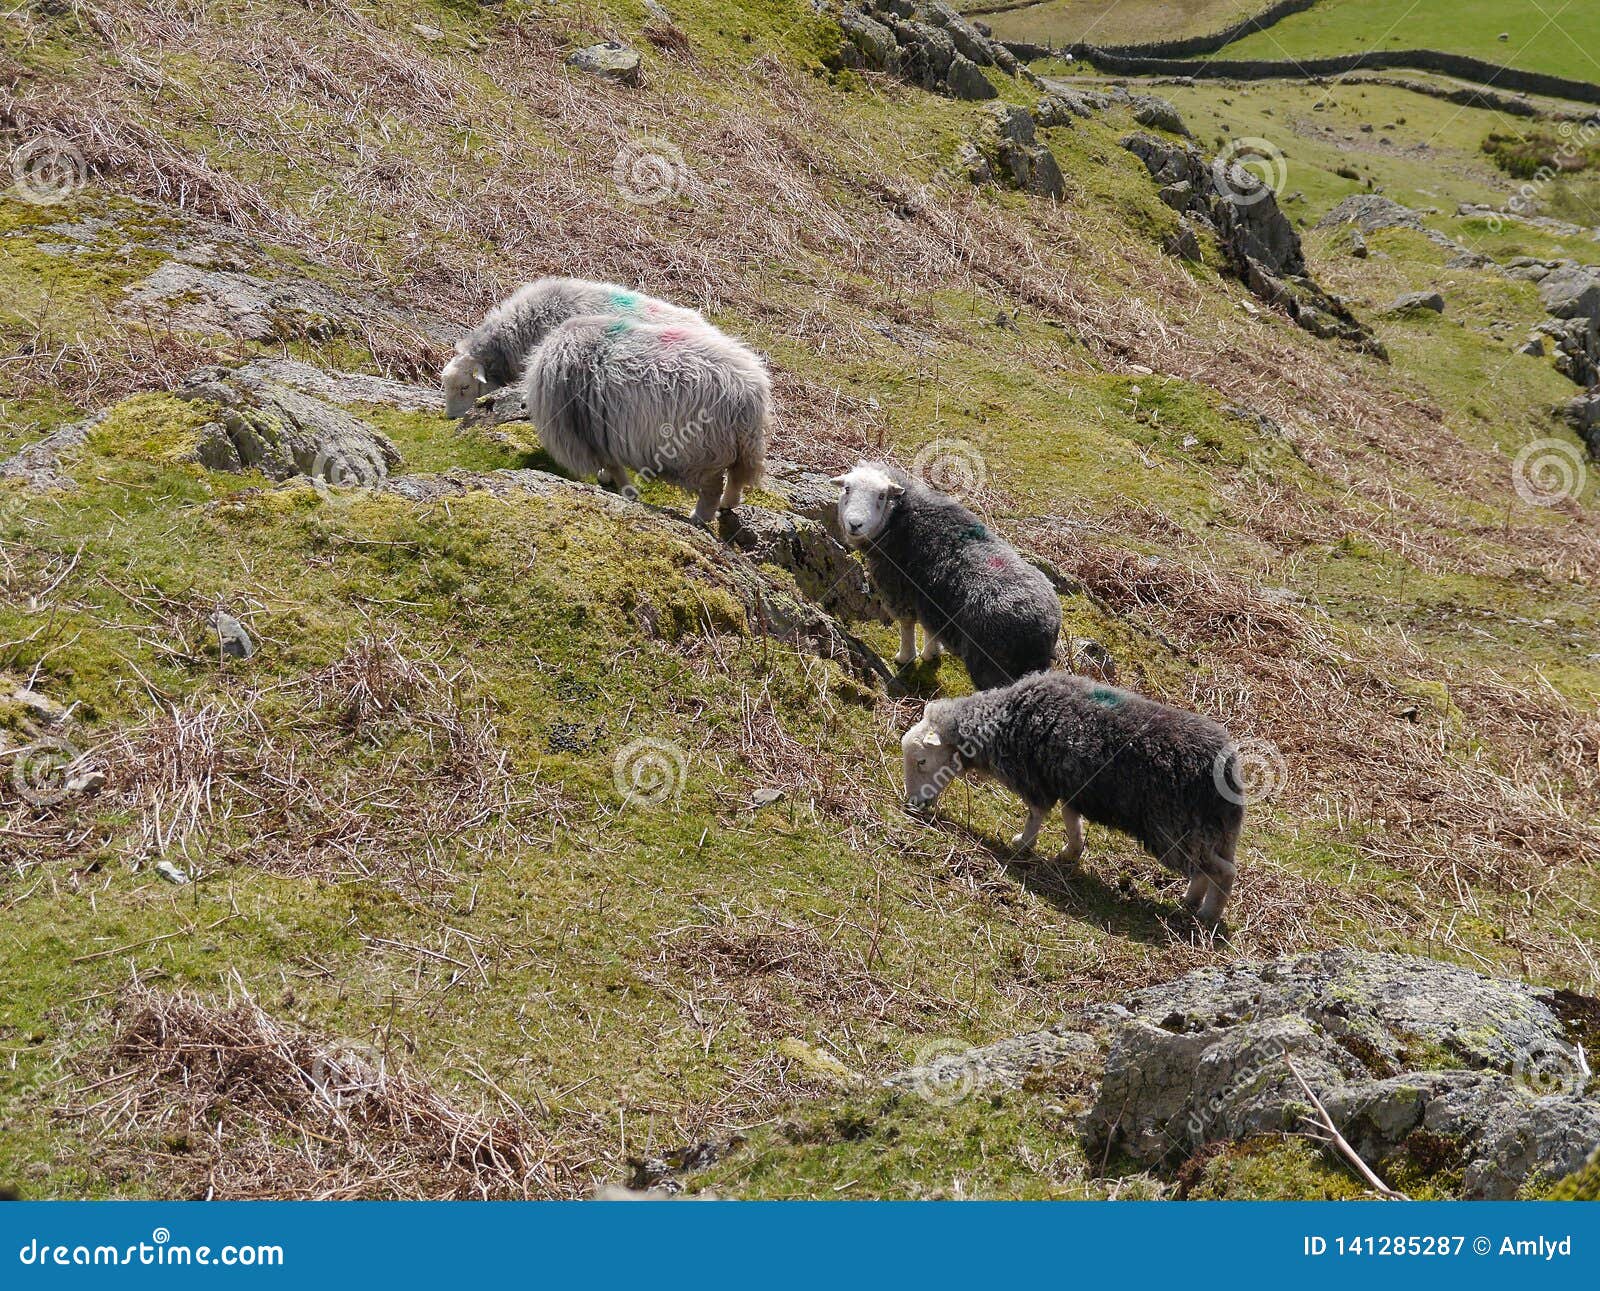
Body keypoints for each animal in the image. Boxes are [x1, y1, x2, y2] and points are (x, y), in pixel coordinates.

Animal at [522, 314, 769, 525]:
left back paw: (700, 516)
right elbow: (612, 464)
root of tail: (748, 392)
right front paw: (609, 480)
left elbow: (614, 467)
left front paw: (626, 491)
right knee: (737, 477)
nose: (523, 406)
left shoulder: (592, 437)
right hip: (740, 446)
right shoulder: (603, 436)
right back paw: (728, 504)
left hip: (704, 452)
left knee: (714, 487)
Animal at [831, 462, 1059, 690]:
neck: (897, 518)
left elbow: (907, 625)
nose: (855, 524)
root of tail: (1043, 624)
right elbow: (931, 627)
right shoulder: (930, 600)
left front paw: (905, 657)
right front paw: (931, 653)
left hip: (991, 668)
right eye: (847, 489)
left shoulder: (897, 590)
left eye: (881, 496)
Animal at [901, 671, 1244, 922]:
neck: (996, 722)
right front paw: (1071, 852)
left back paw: (1208, 915)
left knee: (1224, 872)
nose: (912, 805)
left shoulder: (1033, 780)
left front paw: (1023, 844)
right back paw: (1191, 900)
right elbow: (1070, 817)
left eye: (921, 761)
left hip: (1176, 832)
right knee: (1207, 870)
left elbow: (1036, 815)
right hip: (1209, 835)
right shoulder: (1068, 786)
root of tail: (1227, 771)